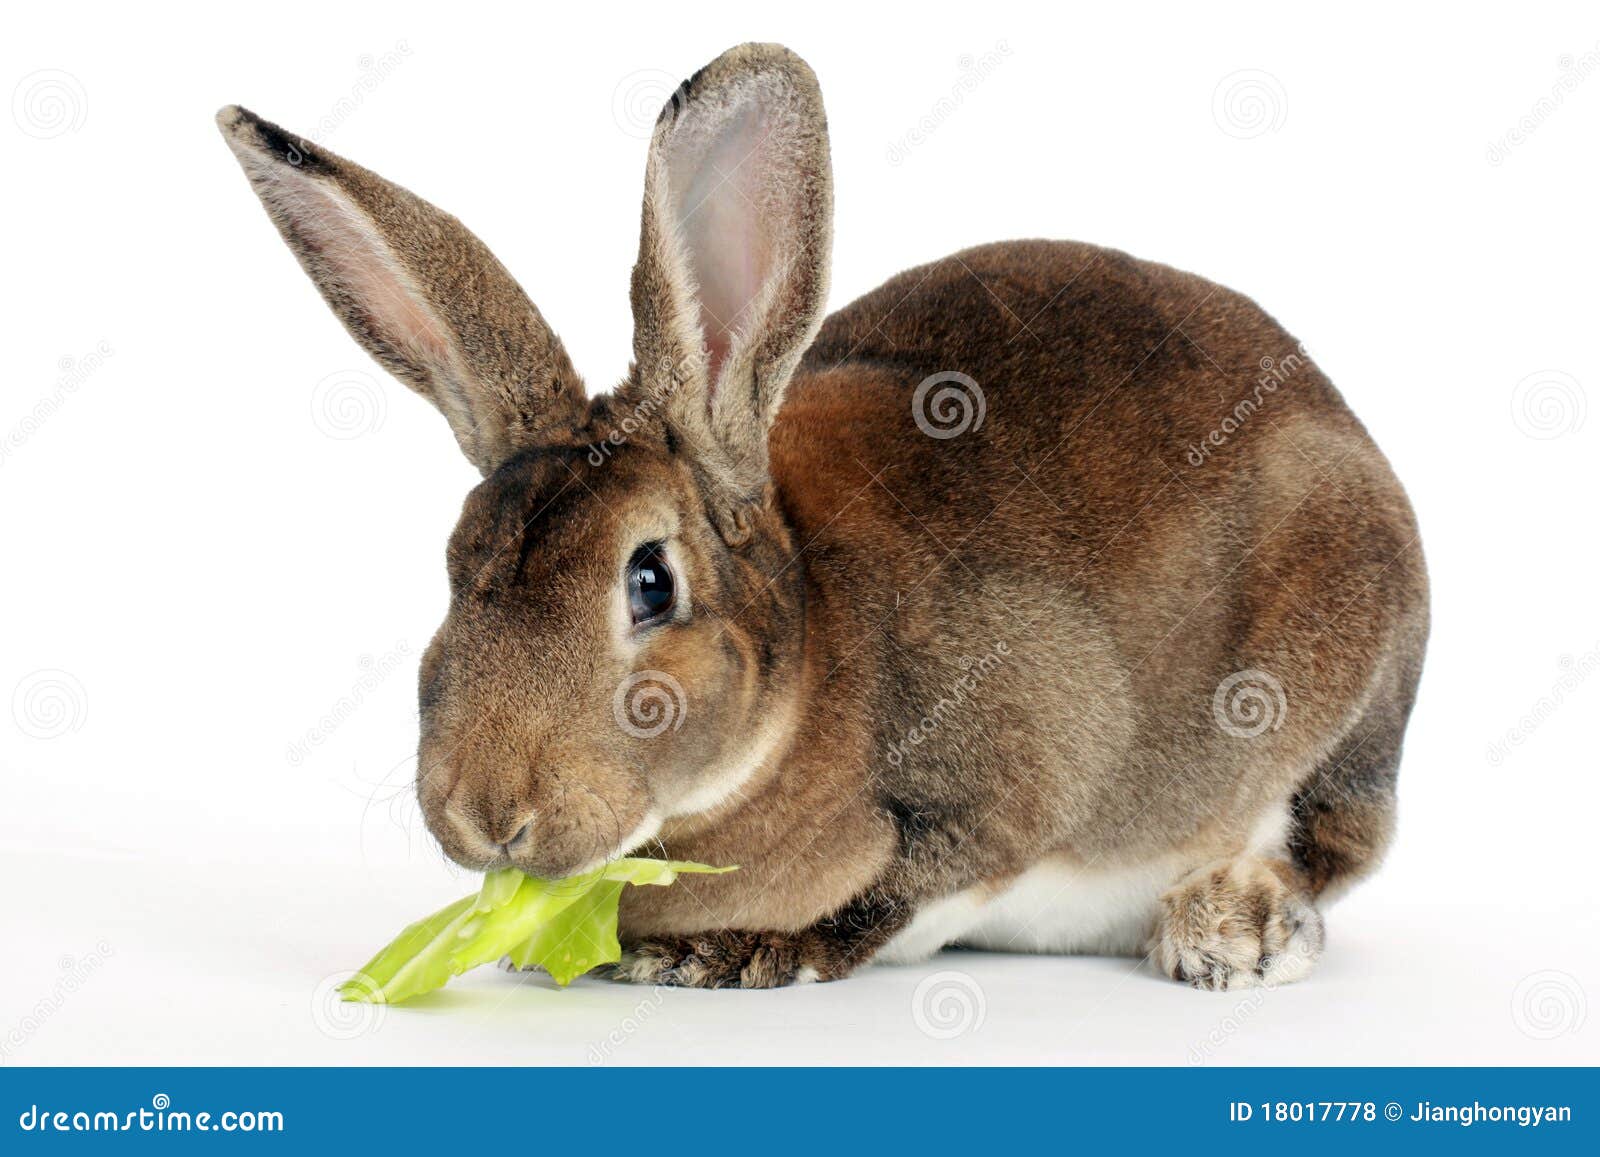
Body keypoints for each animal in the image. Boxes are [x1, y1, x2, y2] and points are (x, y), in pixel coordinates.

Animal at [218, 42, 1427, 990]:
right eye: (457, 559)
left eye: (649, 580)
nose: (484, 815)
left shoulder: (1014, 769)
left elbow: (896, 883)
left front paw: (727, 952)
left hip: (1341, 677)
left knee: (1329, 843)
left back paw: (1228, 928)